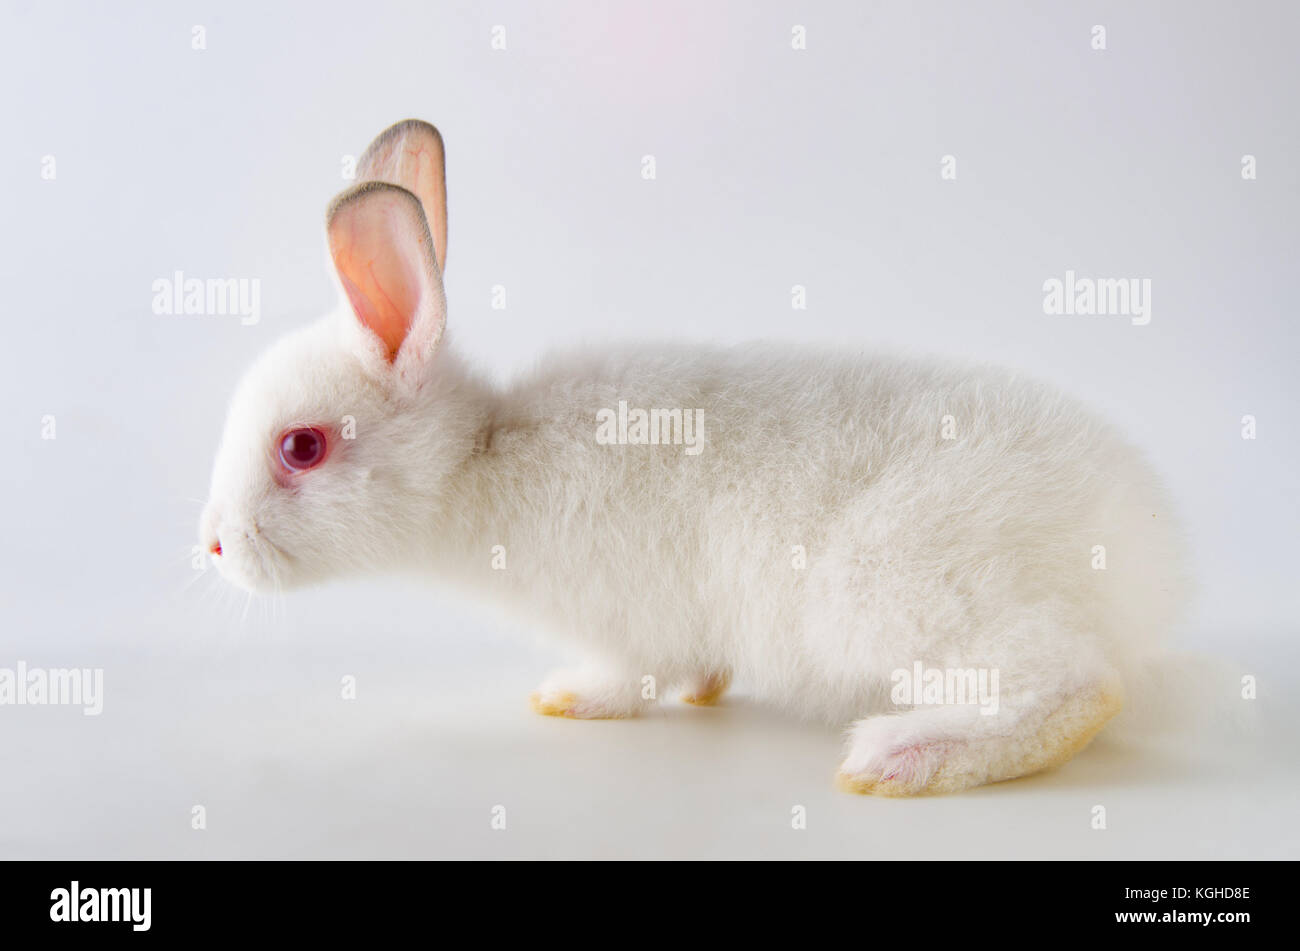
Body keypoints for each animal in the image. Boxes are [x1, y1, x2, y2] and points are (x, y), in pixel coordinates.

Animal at [200, 119, 1189, 796]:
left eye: (301, 446)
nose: (212, 544)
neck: (478, 458)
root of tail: (1137, 552)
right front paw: (707, 692)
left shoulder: (627, 622)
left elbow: (632, 676)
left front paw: (568, 698)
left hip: (893, 596)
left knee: (1077, 688)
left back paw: (900, 756)